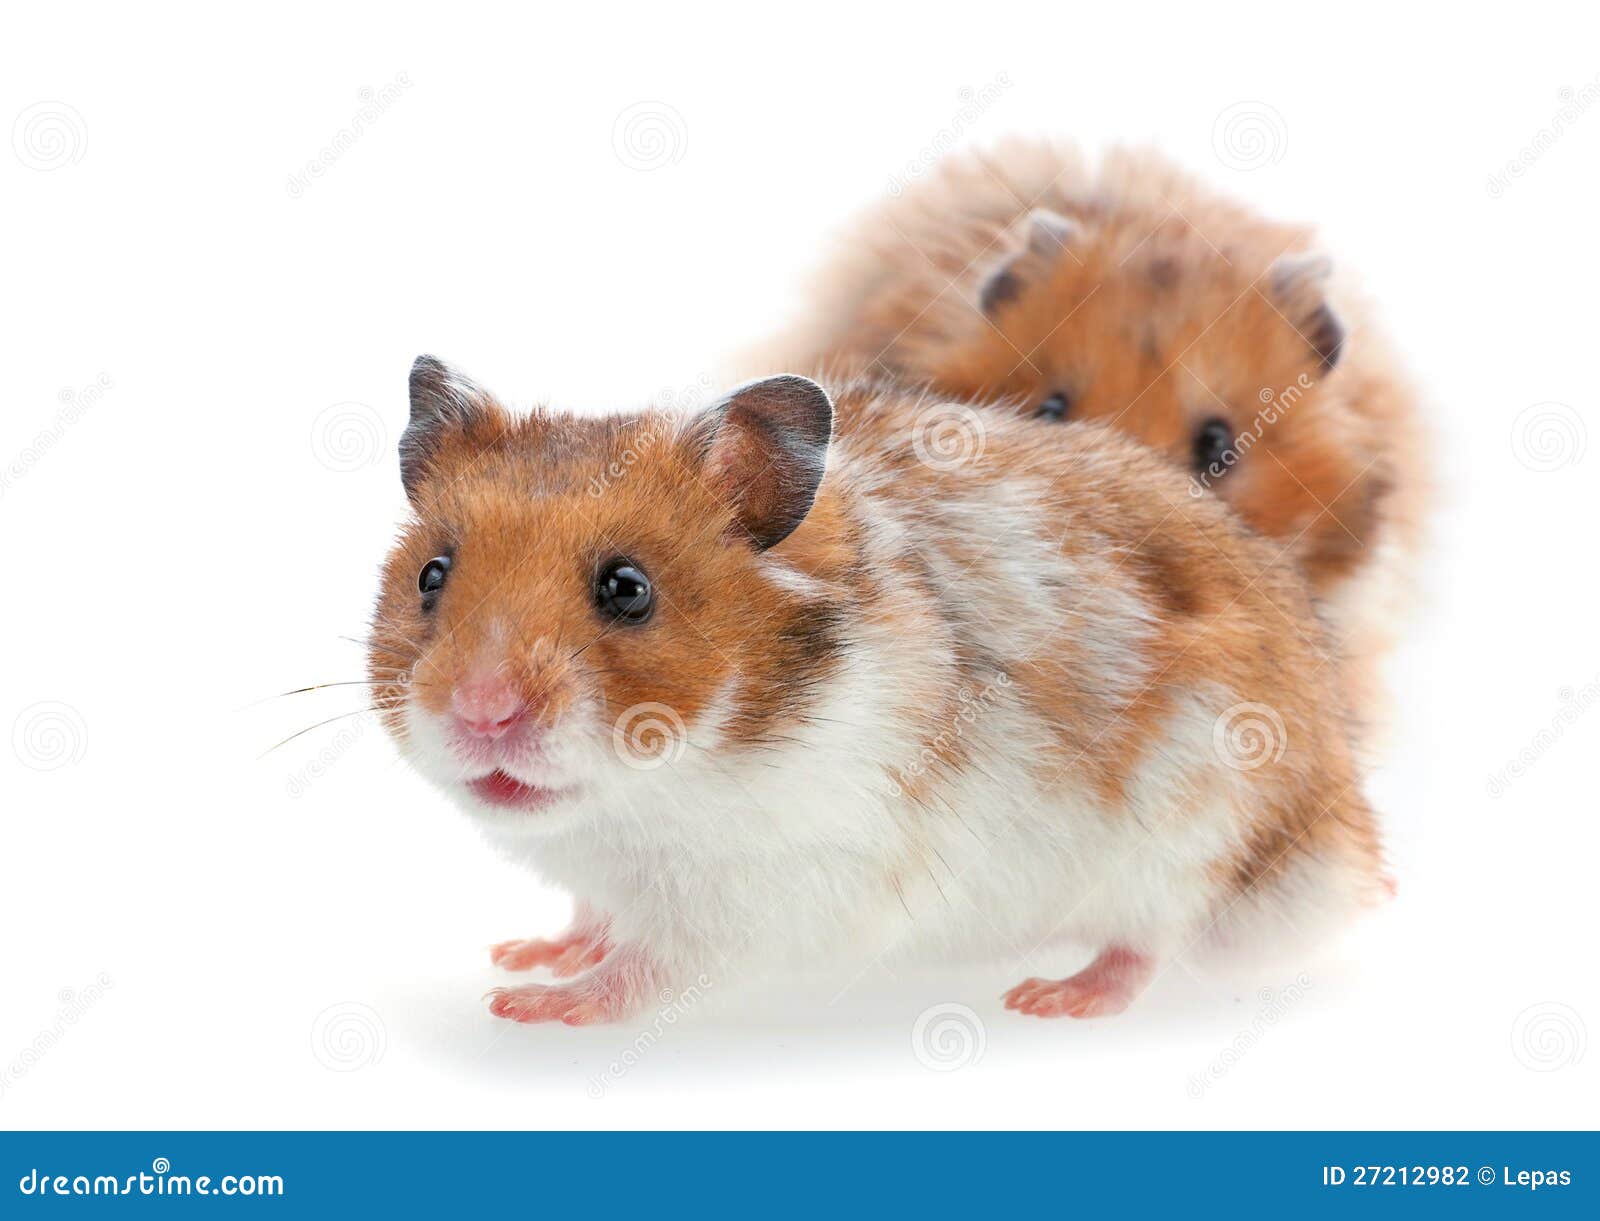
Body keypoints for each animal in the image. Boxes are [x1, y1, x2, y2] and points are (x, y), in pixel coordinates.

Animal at [368, 356, 1388, 1025]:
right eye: (431, 576)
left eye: (627, 589)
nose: (480, 712)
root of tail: (1343, 822)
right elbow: (595, 914)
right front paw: (528, 954)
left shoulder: (773, 892)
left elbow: (652, 965)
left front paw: (527, 1003)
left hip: (1193, 830)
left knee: (1152, 937)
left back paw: (1055, 997)